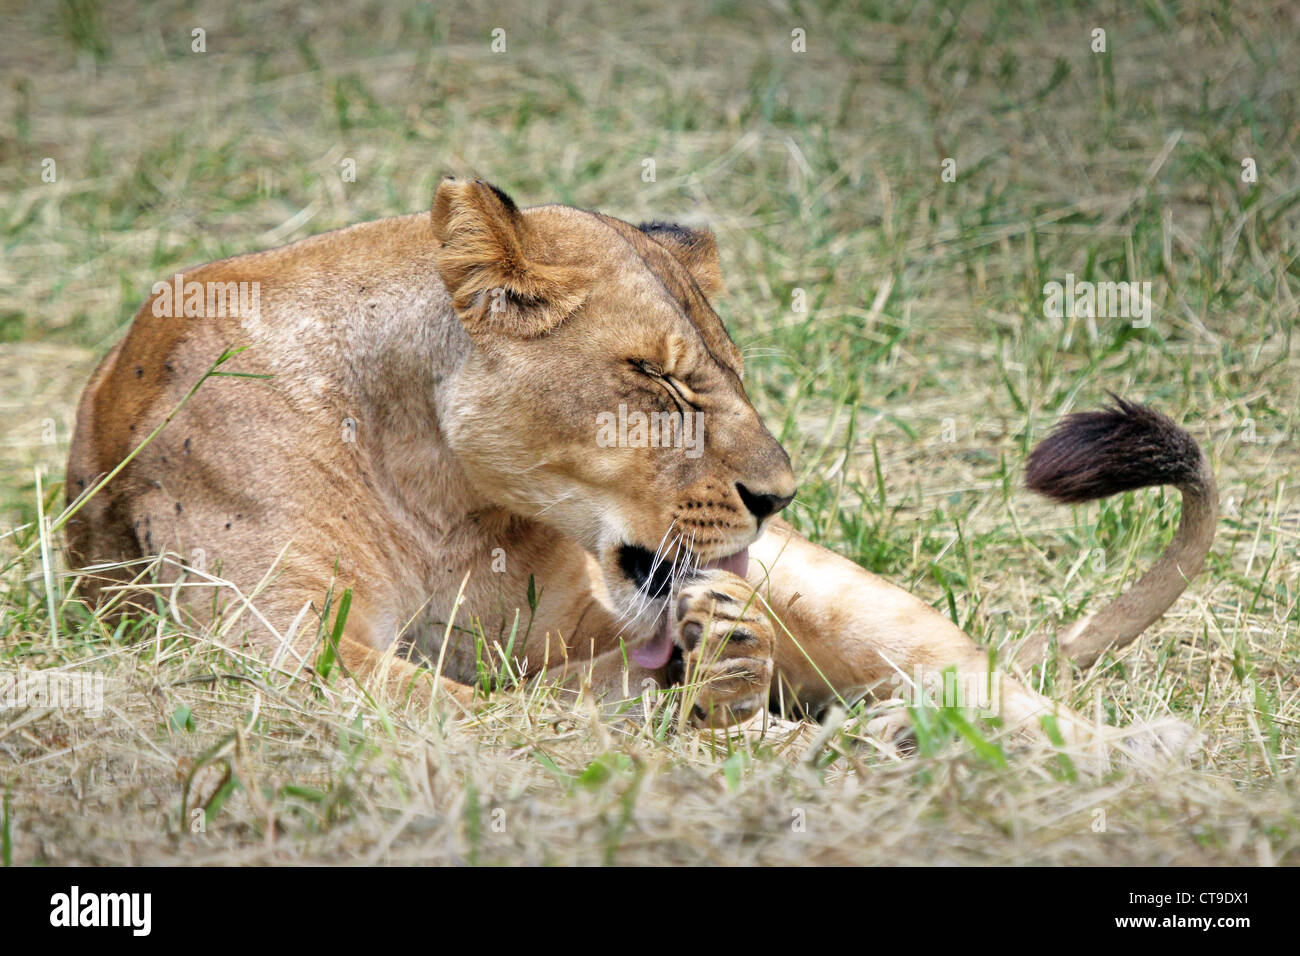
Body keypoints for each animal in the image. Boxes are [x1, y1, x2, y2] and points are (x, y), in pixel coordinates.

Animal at [65, 177, 1216, 753]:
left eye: (730, 373)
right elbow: (509, 713)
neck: (448, 496)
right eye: (660, 380)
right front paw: (724, 703)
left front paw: (730, 684)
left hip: (839, 597)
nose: (776, 495)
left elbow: (558, 691)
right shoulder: (288, 650)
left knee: (978, 678)